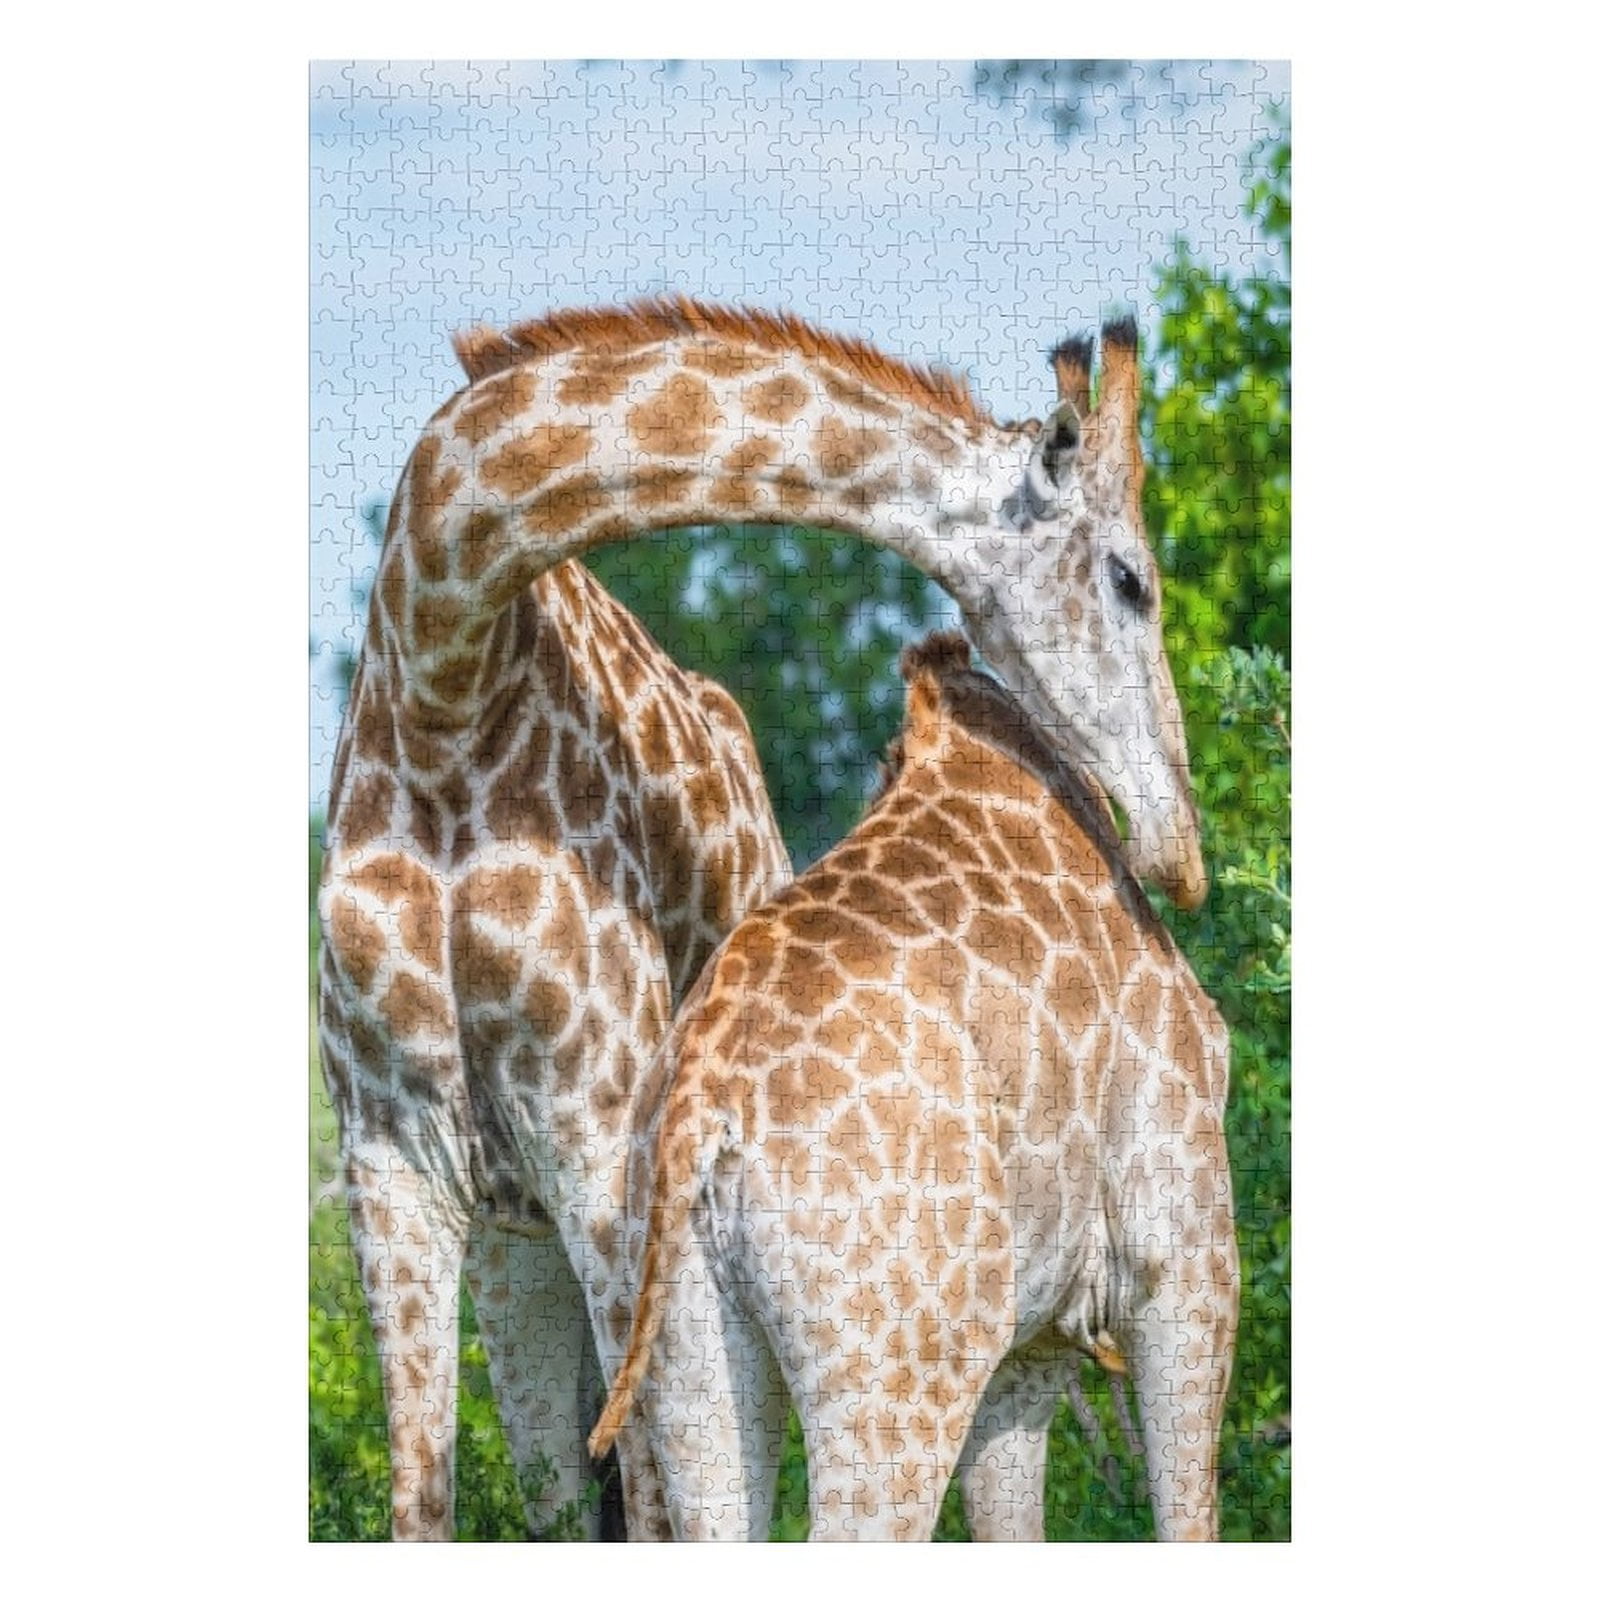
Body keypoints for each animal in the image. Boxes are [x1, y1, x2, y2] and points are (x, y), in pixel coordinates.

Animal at [588, 631, 1239, 1540]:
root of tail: (699, 1104)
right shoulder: (1183, 1252)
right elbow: (1189, 1513)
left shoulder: (1030, 1347)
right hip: (904, 1360)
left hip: (687, 1344)